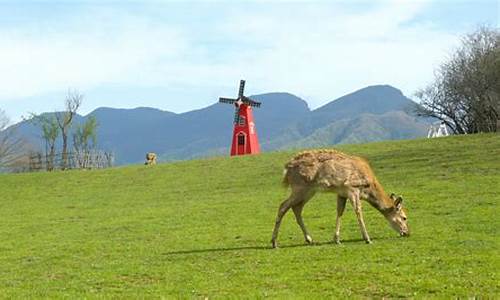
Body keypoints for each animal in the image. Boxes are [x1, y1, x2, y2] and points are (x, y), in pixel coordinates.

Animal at [272, 150, 408, 248]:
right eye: (404, 217)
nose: (407, 232)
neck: (368, 189)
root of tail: (286, 170)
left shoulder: (342, 193)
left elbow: (340, 211)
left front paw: (336, 239)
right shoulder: (352, 189)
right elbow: (358, 211)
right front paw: (367, 238)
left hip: (308, 191)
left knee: (296, 208)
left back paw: (309, 239)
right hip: (300, 187)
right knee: (283, 206)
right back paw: (274, 242)